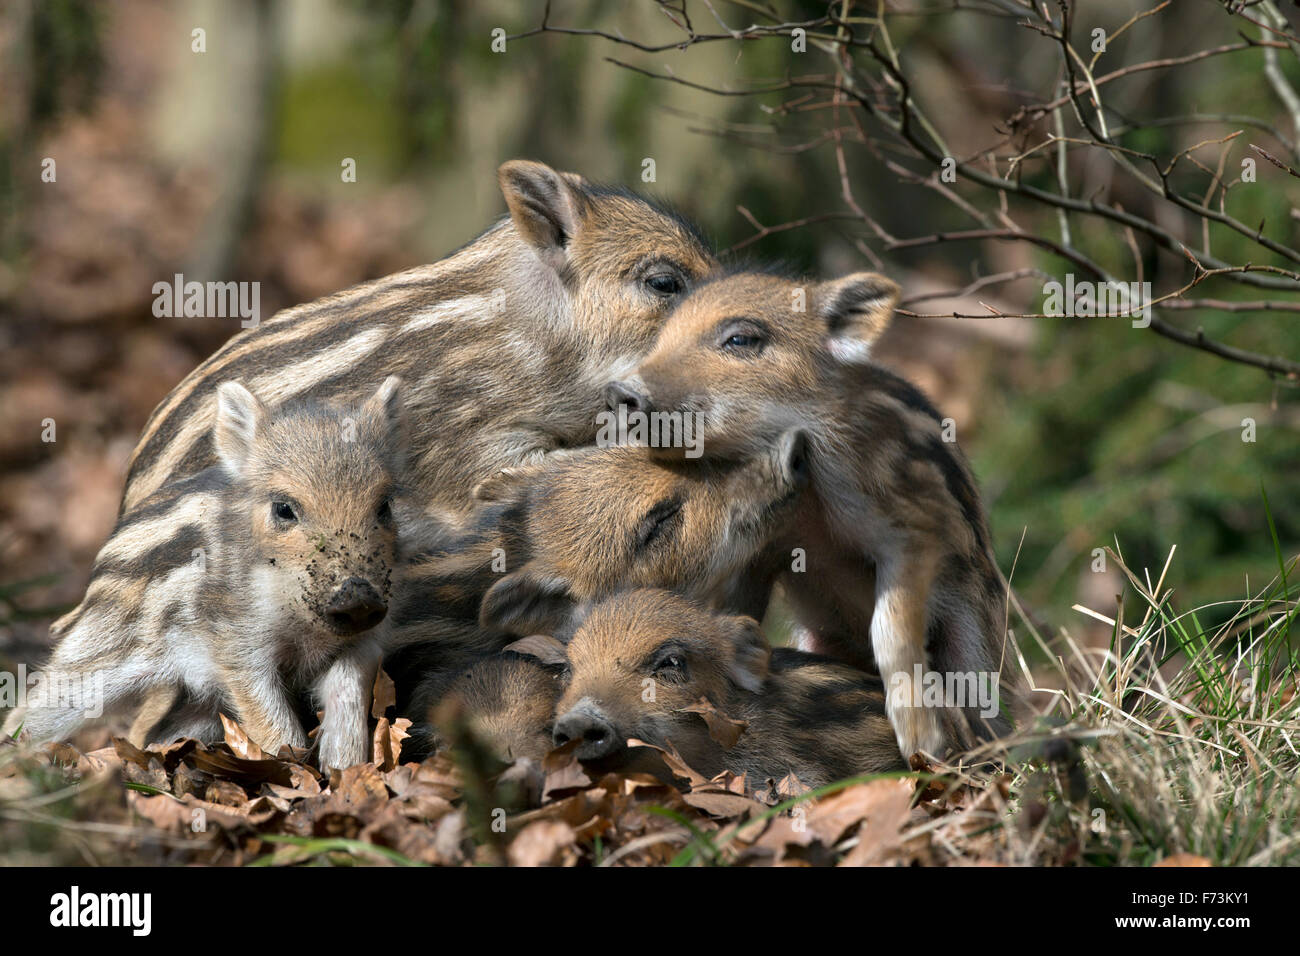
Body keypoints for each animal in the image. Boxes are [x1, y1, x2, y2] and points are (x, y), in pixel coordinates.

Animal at [3, 378, 406, 769]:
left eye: (384, 506)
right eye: (283, 508)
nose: (357, 596)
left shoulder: (363, 639)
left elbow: (349, 694)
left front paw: (345, 768)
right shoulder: (238, 643)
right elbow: (273, 723)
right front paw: (294, 771)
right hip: (99, 653)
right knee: (38, 706)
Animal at [606, 271, 1021, 759]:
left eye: (741, 338)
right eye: (663, 336)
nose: (618, 392)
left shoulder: (913, 530)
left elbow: (890, 628)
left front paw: (922, 743)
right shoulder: (755, 552)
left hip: (976, 635)